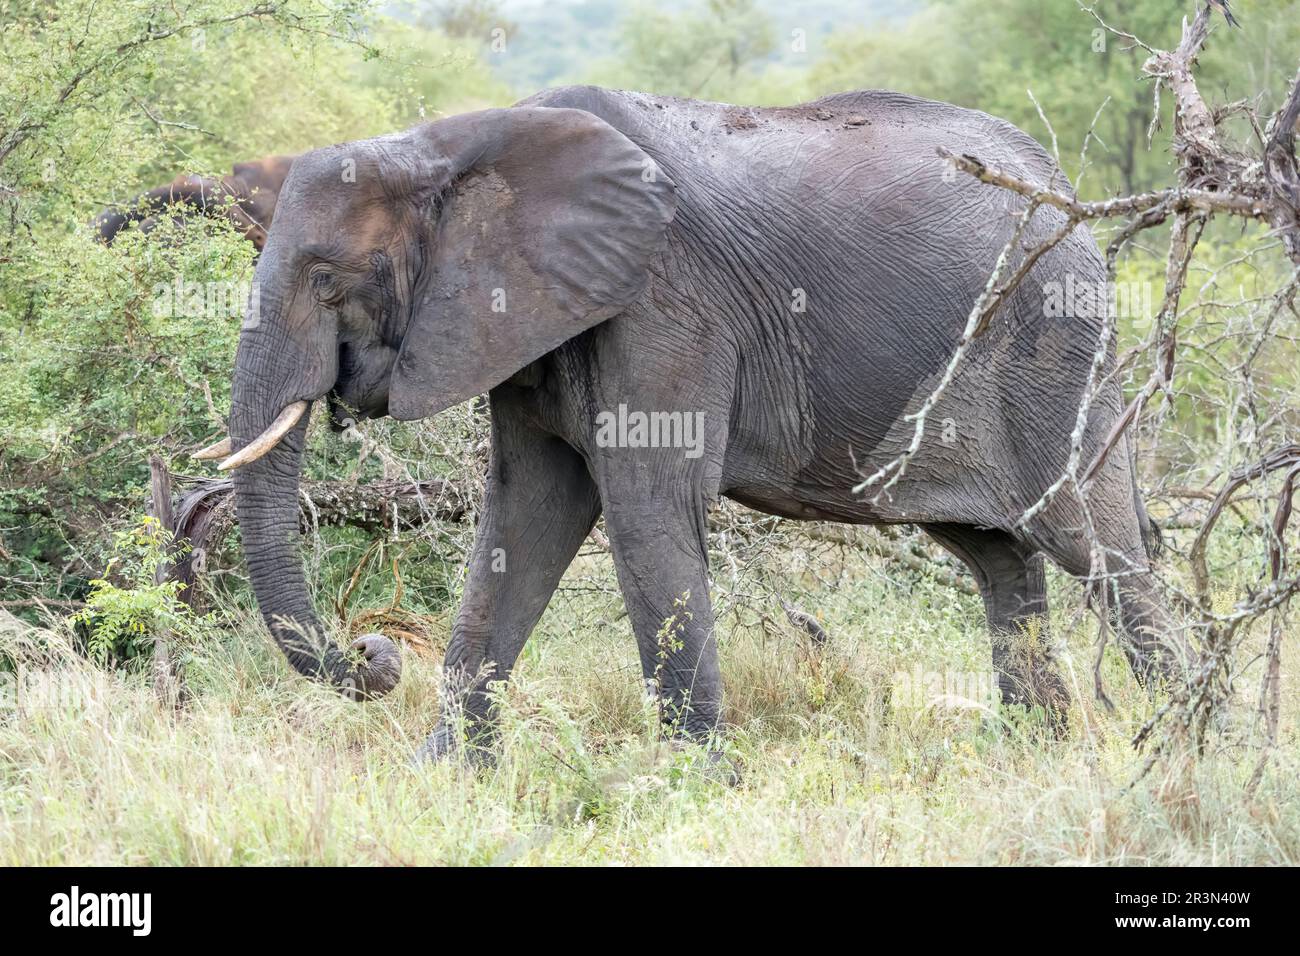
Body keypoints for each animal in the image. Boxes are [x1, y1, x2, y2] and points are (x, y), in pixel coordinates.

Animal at [209, 85, 1180, 758]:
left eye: (327, 280)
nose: (373, 650)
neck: (454, 145)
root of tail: (1068, 192)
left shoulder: (664, 304)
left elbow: (646, 512)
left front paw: (696, 784)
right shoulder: (530, 321)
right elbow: (523, 520)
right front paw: (444, 778)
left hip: (1050, 345)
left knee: (1099, 547)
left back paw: (1185, 745)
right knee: (1001, 556)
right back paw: (1039, 754)